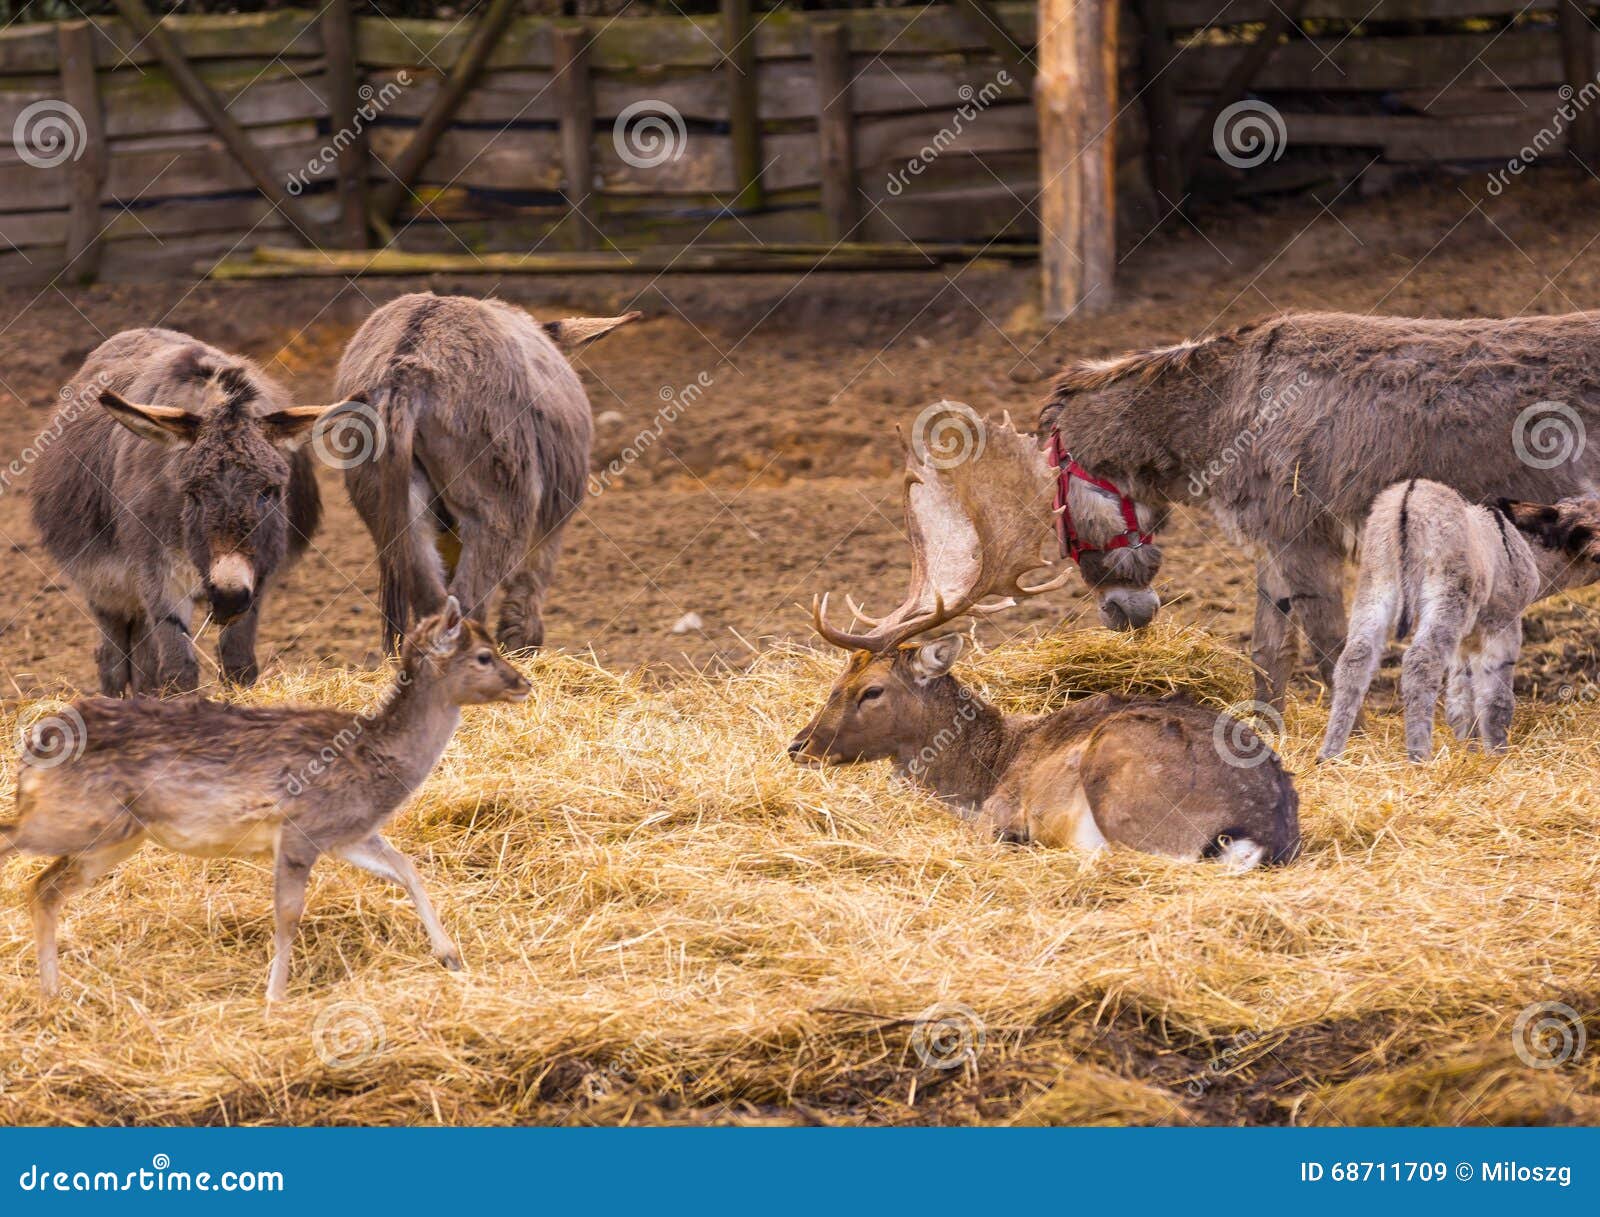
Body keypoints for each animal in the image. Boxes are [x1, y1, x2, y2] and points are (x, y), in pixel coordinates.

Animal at [0, 596, 529, 1001]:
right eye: (485, 655)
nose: (525, 682)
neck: (375, 761)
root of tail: (36, 745)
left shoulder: (346, 834)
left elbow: (406, 867)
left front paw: (450, 955)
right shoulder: (300, 829)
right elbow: (288, 915)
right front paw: (275, 996)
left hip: (114, 836)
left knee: (44, 888)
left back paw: (52, 994)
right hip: (75, 818)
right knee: (16, 845)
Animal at [30, 329, 365, 695]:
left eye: (268, 492)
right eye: (192, 494)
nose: (227, 598)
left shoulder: (258, 578)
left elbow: (238, 664)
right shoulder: (158, 574)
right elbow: (179, 671)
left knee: (144, 661)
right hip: (105, 588)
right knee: (113, 659)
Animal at [334, 293, 641, 655]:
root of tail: (407, 368)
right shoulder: (546, 531)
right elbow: (525, 601)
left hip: (392, 510)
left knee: (434, 605)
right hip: (498, 512)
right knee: (469, 605)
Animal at [788, 418, 1300, 869]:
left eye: (871, 691)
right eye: (837, 681)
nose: (799, 745)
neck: (985, 770)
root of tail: (1254, 832)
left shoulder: (997, 810)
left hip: (1122, 778)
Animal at [1318, 480, 1600, 762]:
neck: (1523, 545)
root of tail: (1410, 497)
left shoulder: (1465, 641)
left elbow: (1460, 698)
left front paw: (1470, 749)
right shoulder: (1503, 622)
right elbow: (1496, 696)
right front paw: (1498, 754)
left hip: (1375, 587)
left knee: (1355, 660)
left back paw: (1330, 754)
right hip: (1446, 595)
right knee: (1421, 662)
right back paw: (1419, 757)